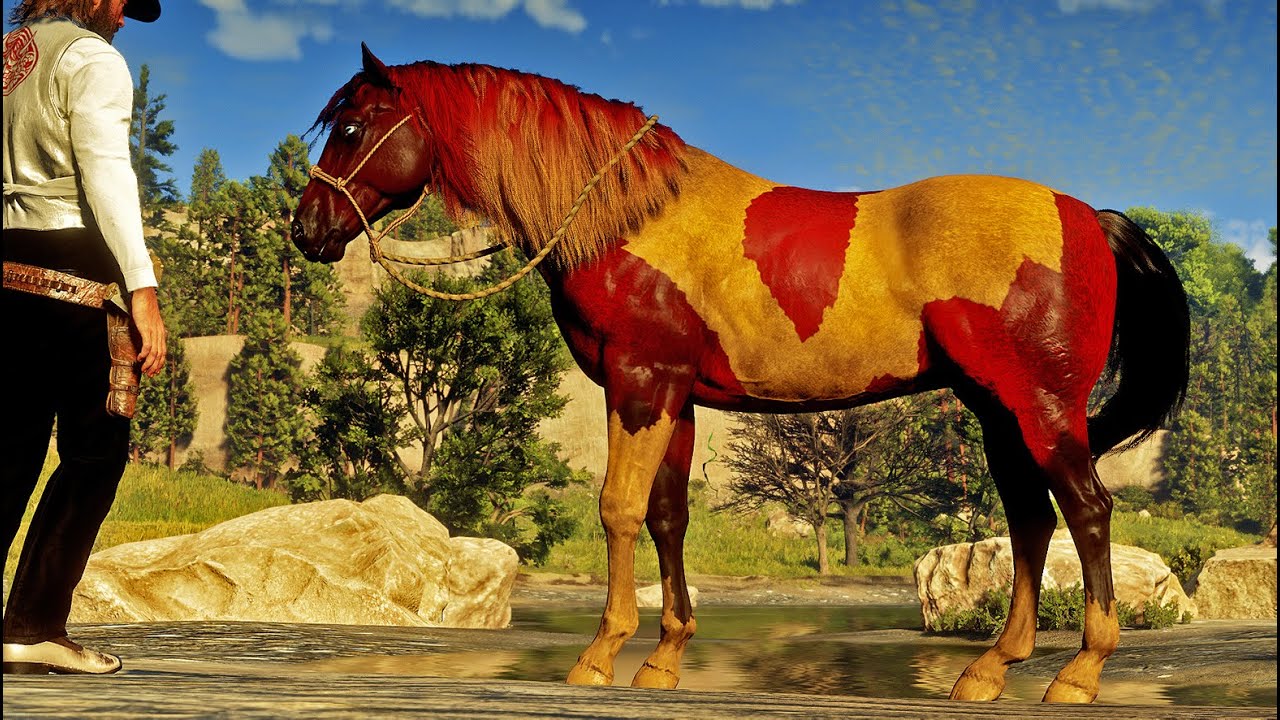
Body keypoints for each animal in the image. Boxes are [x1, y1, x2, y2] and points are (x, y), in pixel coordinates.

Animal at [291, 43, 1190, 704]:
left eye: (356, 125)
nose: (309, 228)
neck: (627, 212)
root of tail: (1086, 216)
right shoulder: (674, 397)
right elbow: (667, 518)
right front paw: (664, 656)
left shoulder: (641, 381)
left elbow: (618, 509)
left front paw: (600, 653)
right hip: (997, 409)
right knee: (1033, 522)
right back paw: (990, 670)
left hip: (1039, 406)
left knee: (1087, 512)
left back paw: (1079, 672)